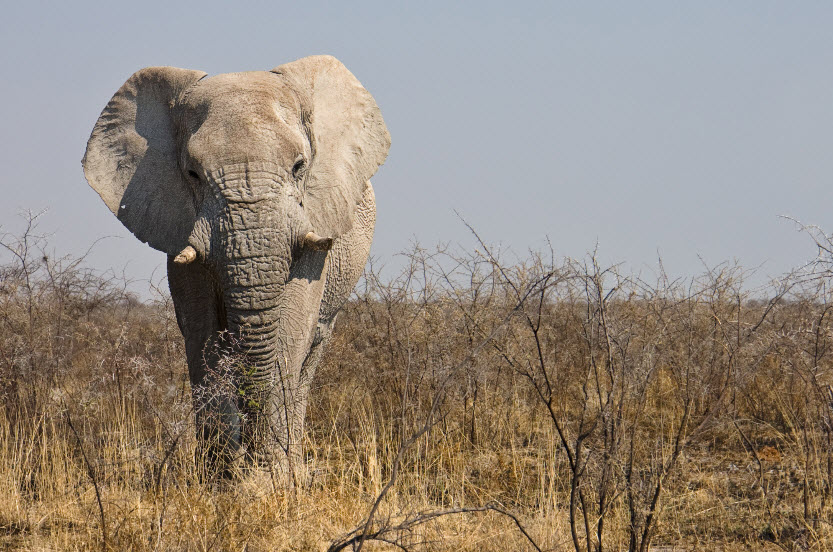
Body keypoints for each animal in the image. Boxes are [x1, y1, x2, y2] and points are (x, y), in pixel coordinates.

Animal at [82, 55, 390, 483]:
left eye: (299, 167)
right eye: (192, 173)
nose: (254, 459)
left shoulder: (313, 221)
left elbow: (290, 329)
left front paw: (274, 480)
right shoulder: (178, 225)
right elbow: (202, 332)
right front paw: (223, 480)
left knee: (311, 351)